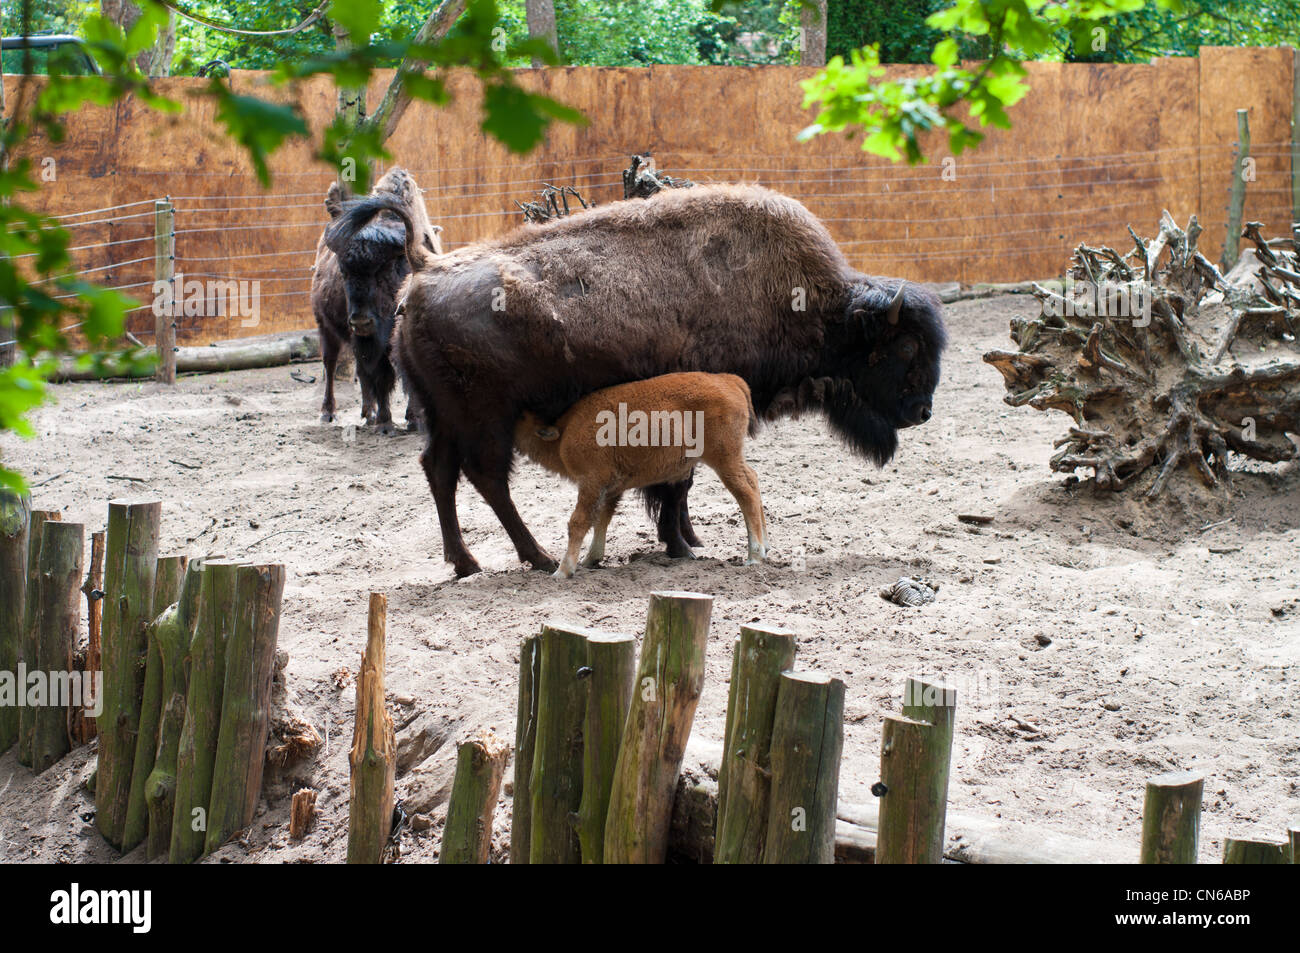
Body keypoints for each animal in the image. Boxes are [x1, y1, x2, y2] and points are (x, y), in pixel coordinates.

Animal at [313, 167, 442, 434]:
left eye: (386, 269)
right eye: (343, 272)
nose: (361, 322)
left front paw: (414, 420)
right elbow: (381, 375)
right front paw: (385, 423)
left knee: (361, 373)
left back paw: (368, 412)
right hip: (326, 327)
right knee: (331, 364)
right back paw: (329, 414)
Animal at [515, 372, 766, 578]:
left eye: (524, 419)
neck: (564, 431)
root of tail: (729, 380)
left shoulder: (591, 484)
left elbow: (578, 522)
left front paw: (563, 571)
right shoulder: (610, 489)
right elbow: (602, 519)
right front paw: (590, 559)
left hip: (724, 460)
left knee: (746, 494)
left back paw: (754, 556)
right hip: (732, 460)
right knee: (754, 481)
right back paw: (765, 547)